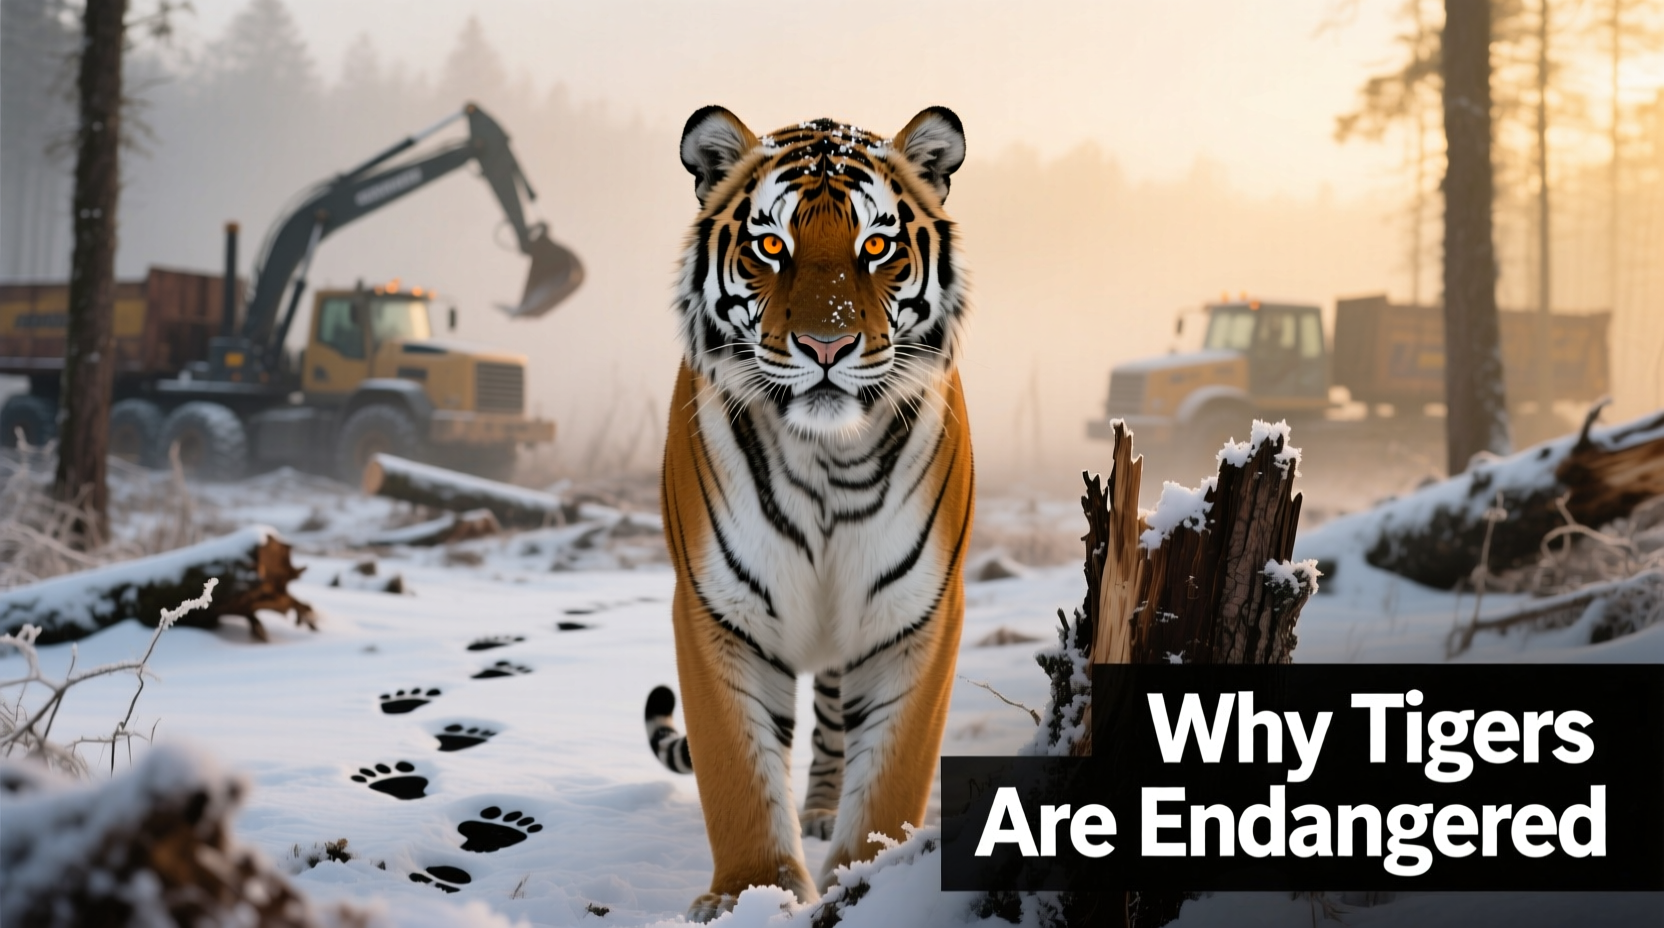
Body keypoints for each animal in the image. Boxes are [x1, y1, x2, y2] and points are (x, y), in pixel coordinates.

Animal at [643, 105, 975, 921]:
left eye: (876, 246)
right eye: (771, 246)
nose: (827, 345)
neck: (829, 461)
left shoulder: (917, 614)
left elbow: (891, 769)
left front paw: (868, 877)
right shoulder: (716, 610)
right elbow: (737, 766)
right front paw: (750, 892)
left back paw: (824, 810)